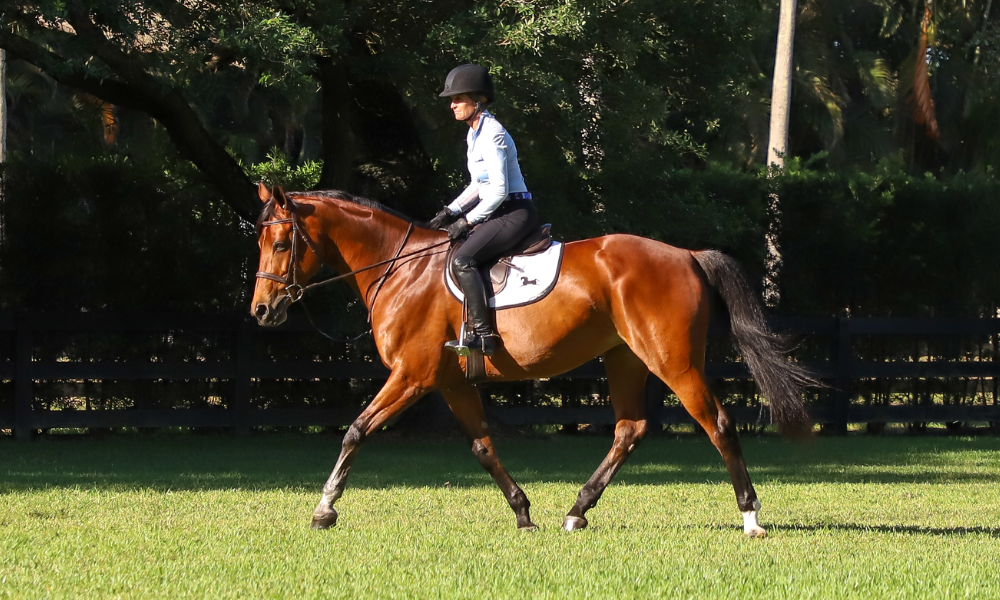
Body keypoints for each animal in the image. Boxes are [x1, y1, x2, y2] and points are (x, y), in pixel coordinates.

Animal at [251, 183, 816, 536]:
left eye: (280, 243)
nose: (261, 310)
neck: (400, 270)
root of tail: (687, 255)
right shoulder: (451, 383)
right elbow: (482, 447)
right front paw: (523, 512)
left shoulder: (411, 376)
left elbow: (356, 430)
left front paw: (324, 509)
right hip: (624, 359)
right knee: (629, 429)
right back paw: (577, 511)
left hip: (673, 363)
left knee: (717, 423)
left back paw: (750, 517)